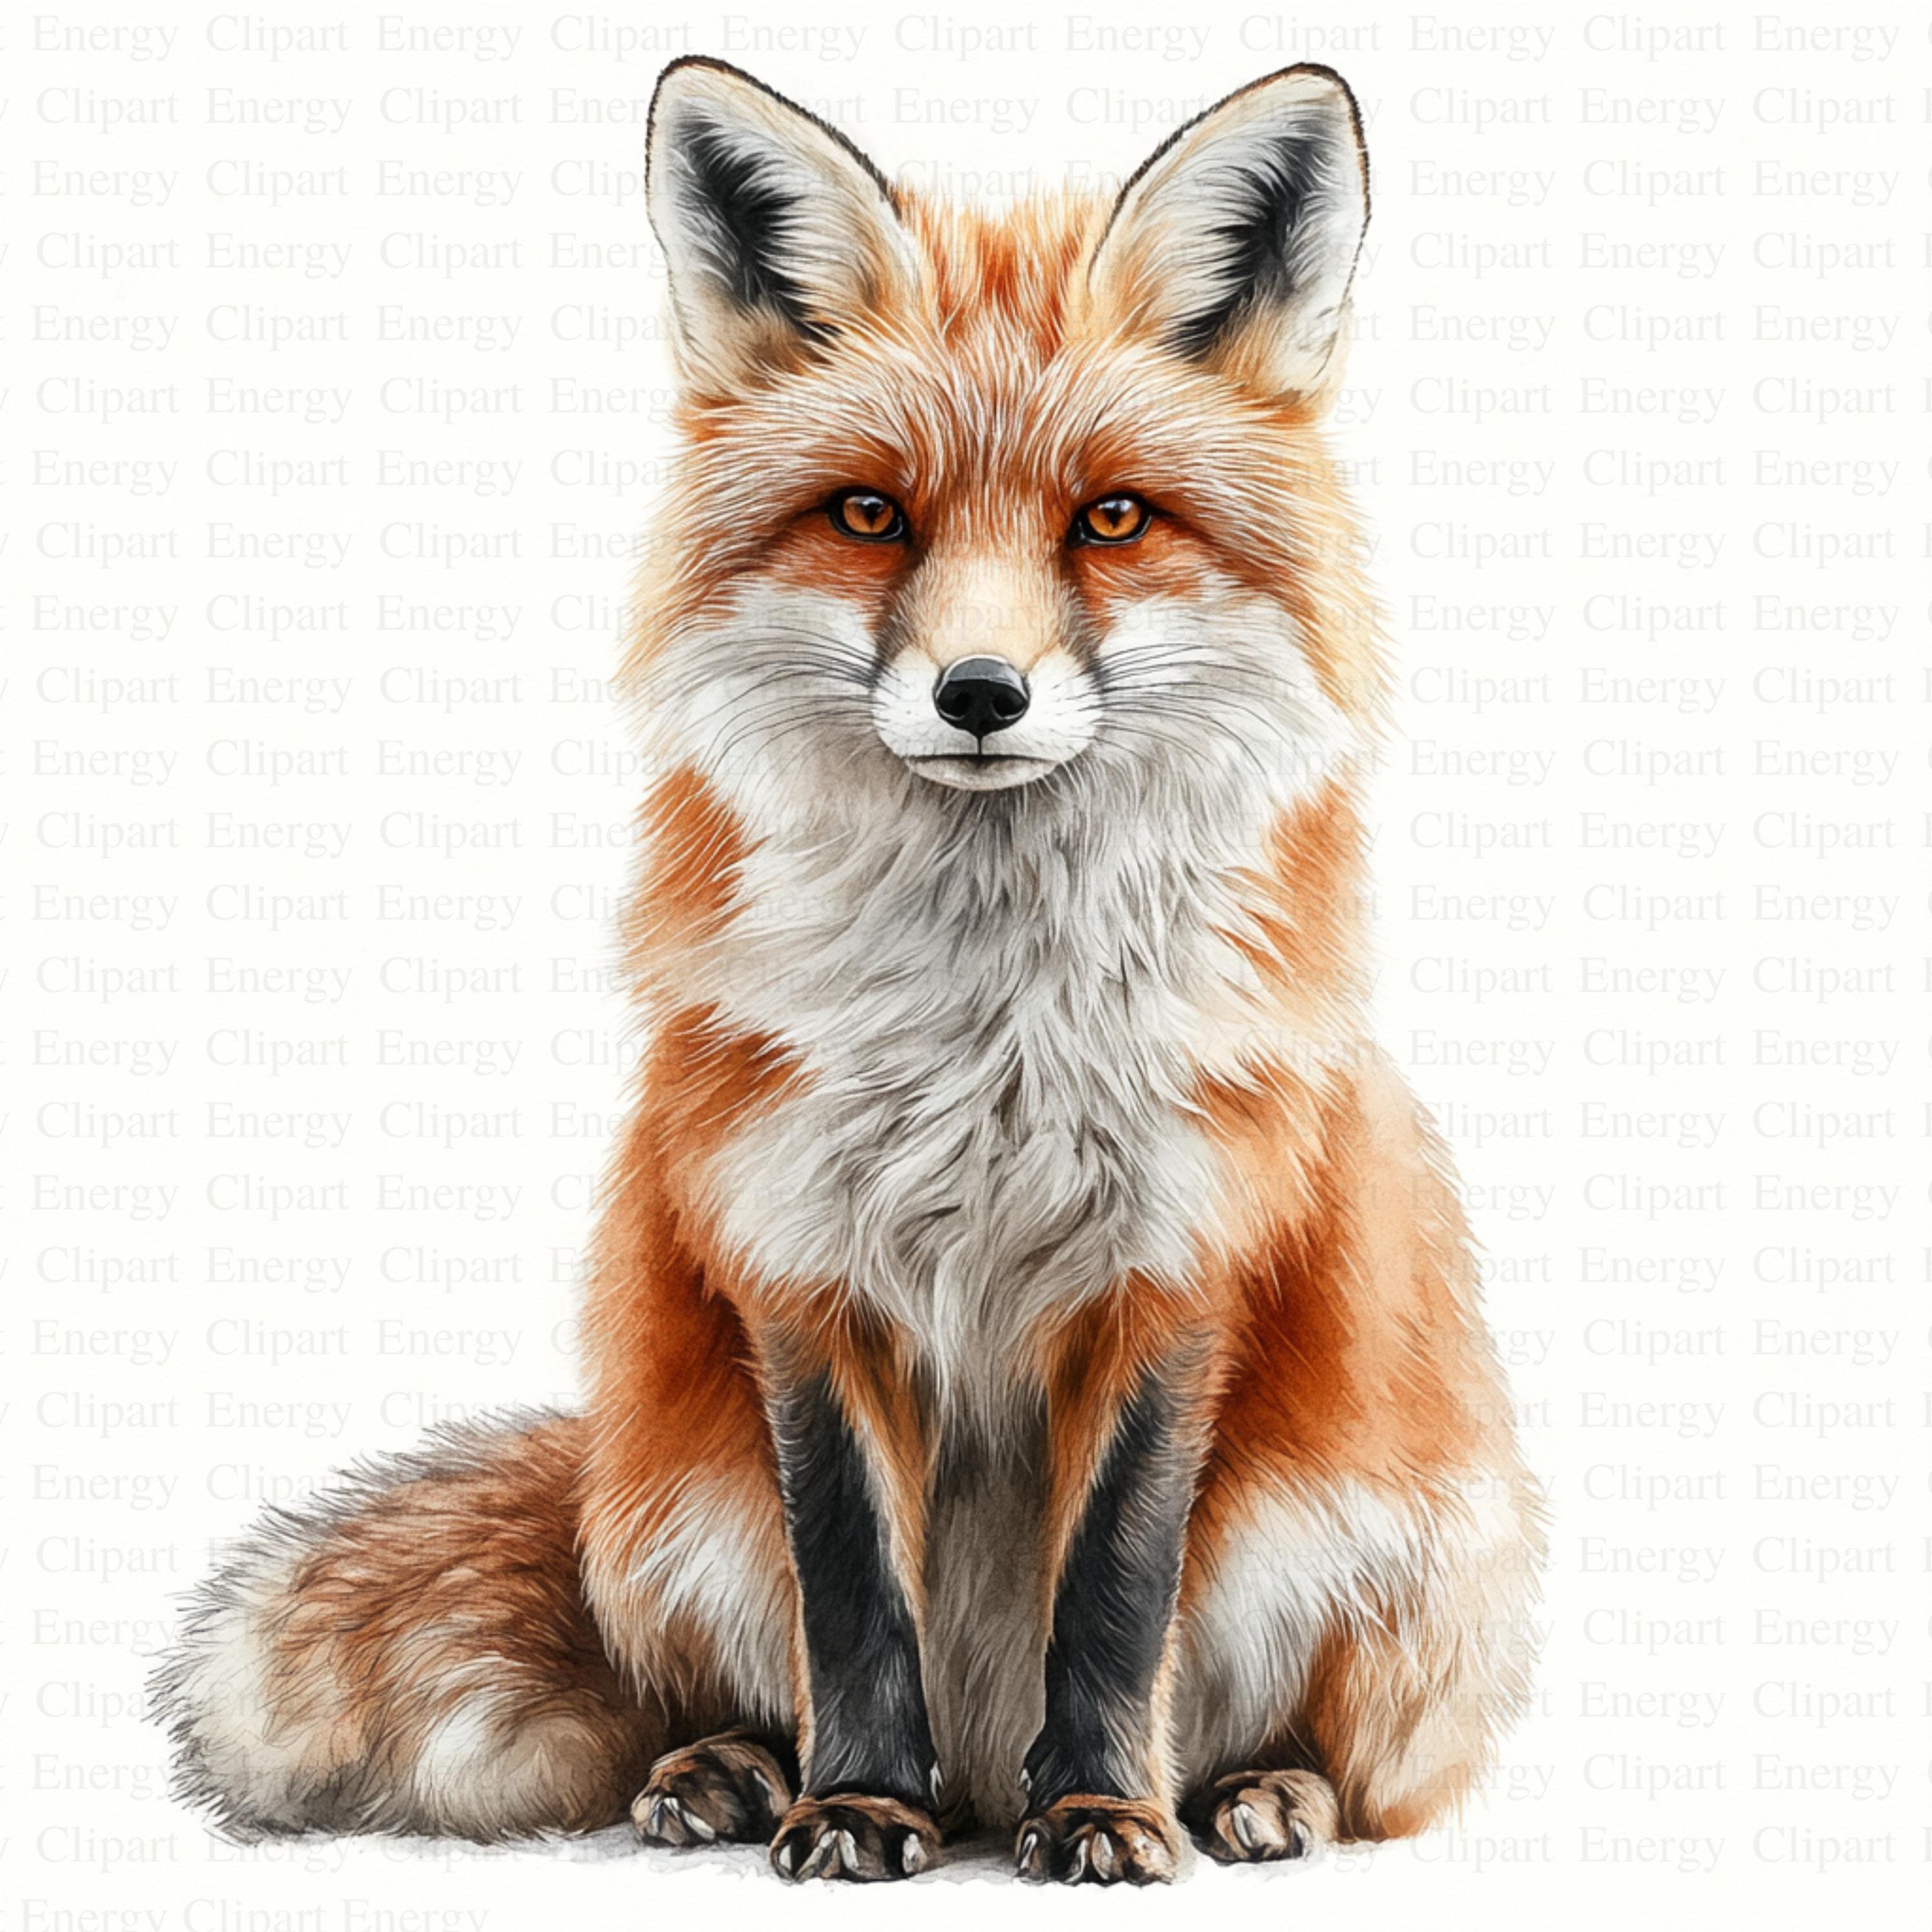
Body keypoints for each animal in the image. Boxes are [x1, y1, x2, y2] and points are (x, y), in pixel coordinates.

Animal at [156, 58, 1544, 1885]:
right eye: (871, 515)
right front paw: (858, 1802)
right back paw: (741, 1773)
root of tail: (981, 1779)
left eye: (1111, 518)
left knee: (1355, 1751)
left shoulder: (1175, 1265)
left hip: (1369, 1535)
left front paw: (1105, 1808)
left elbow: (1114, 1588)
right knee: (725, 1673)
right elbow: (852, 1586)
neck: (987, 1034)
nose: (979, 694)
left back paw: (1253, 1791)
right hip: (670, 1508)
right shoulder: (798, 1265)